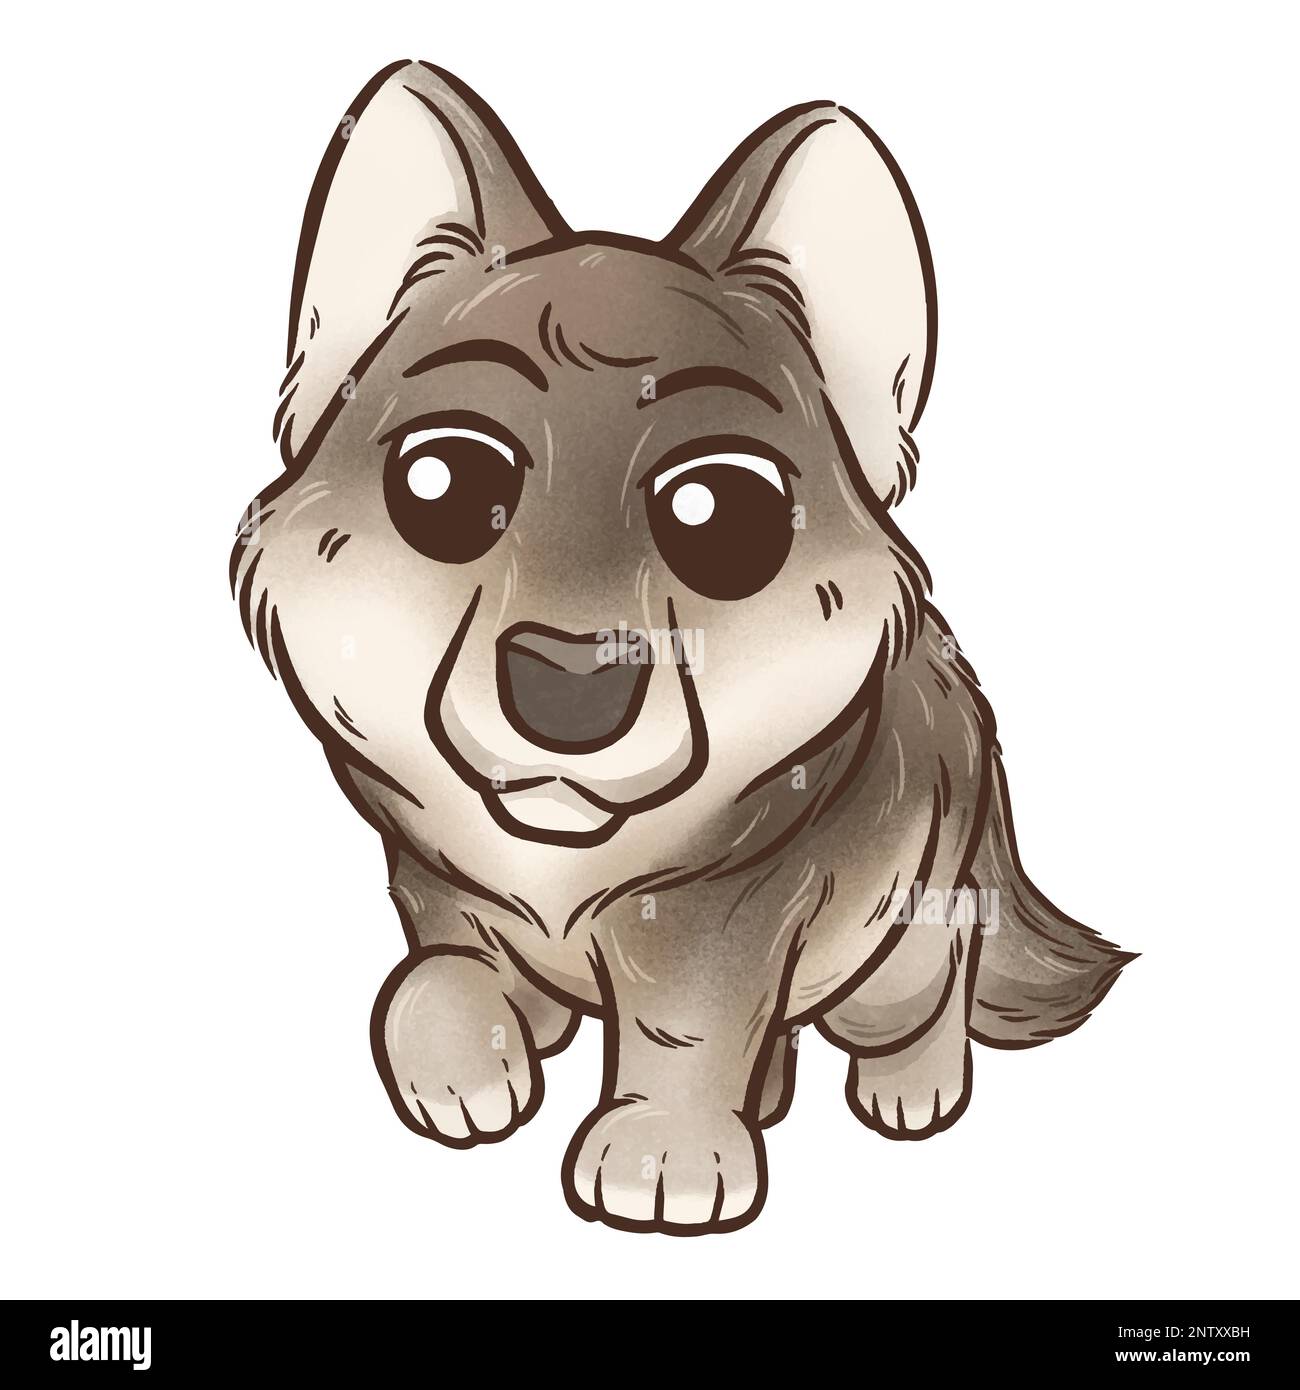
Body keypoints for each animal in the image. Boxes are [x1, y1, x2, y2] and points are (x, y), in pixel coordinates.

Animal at [231, 61, 1131, 1234]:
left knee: (926, 988)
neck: (569, 860)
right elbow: (430, 980)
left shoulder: (725, 925)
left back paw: (911, 1084)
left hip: (905, 934)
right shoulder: (447, 900)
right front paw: (461, 1068)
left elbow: (686, 1034)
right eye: (444, 482)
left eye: (723, 513)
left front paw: (665, 1149)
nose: (569, 690)